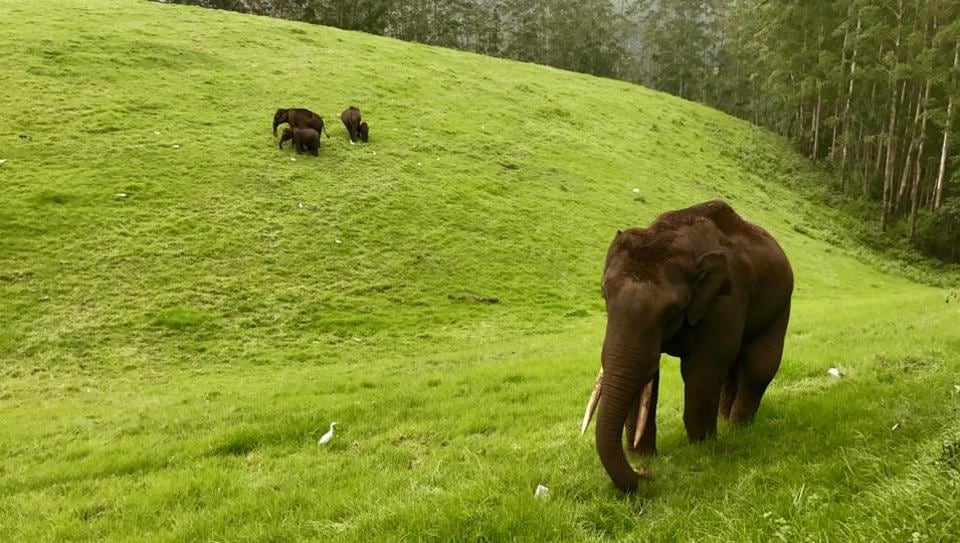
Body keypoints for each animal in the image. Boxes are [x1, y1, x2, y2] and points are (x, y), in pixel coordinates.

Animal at [581, 200, 793, 492]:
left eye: (671, 310)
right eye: (604, 295)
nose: (646, 473)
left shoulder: (724, 300)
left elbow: (704, 366)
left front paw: (703, 447)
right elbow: (647, 374)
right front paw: (643, 454)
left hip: (782, 301)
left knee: (759, 364)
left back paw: (738, 428)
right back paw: (726, 420)